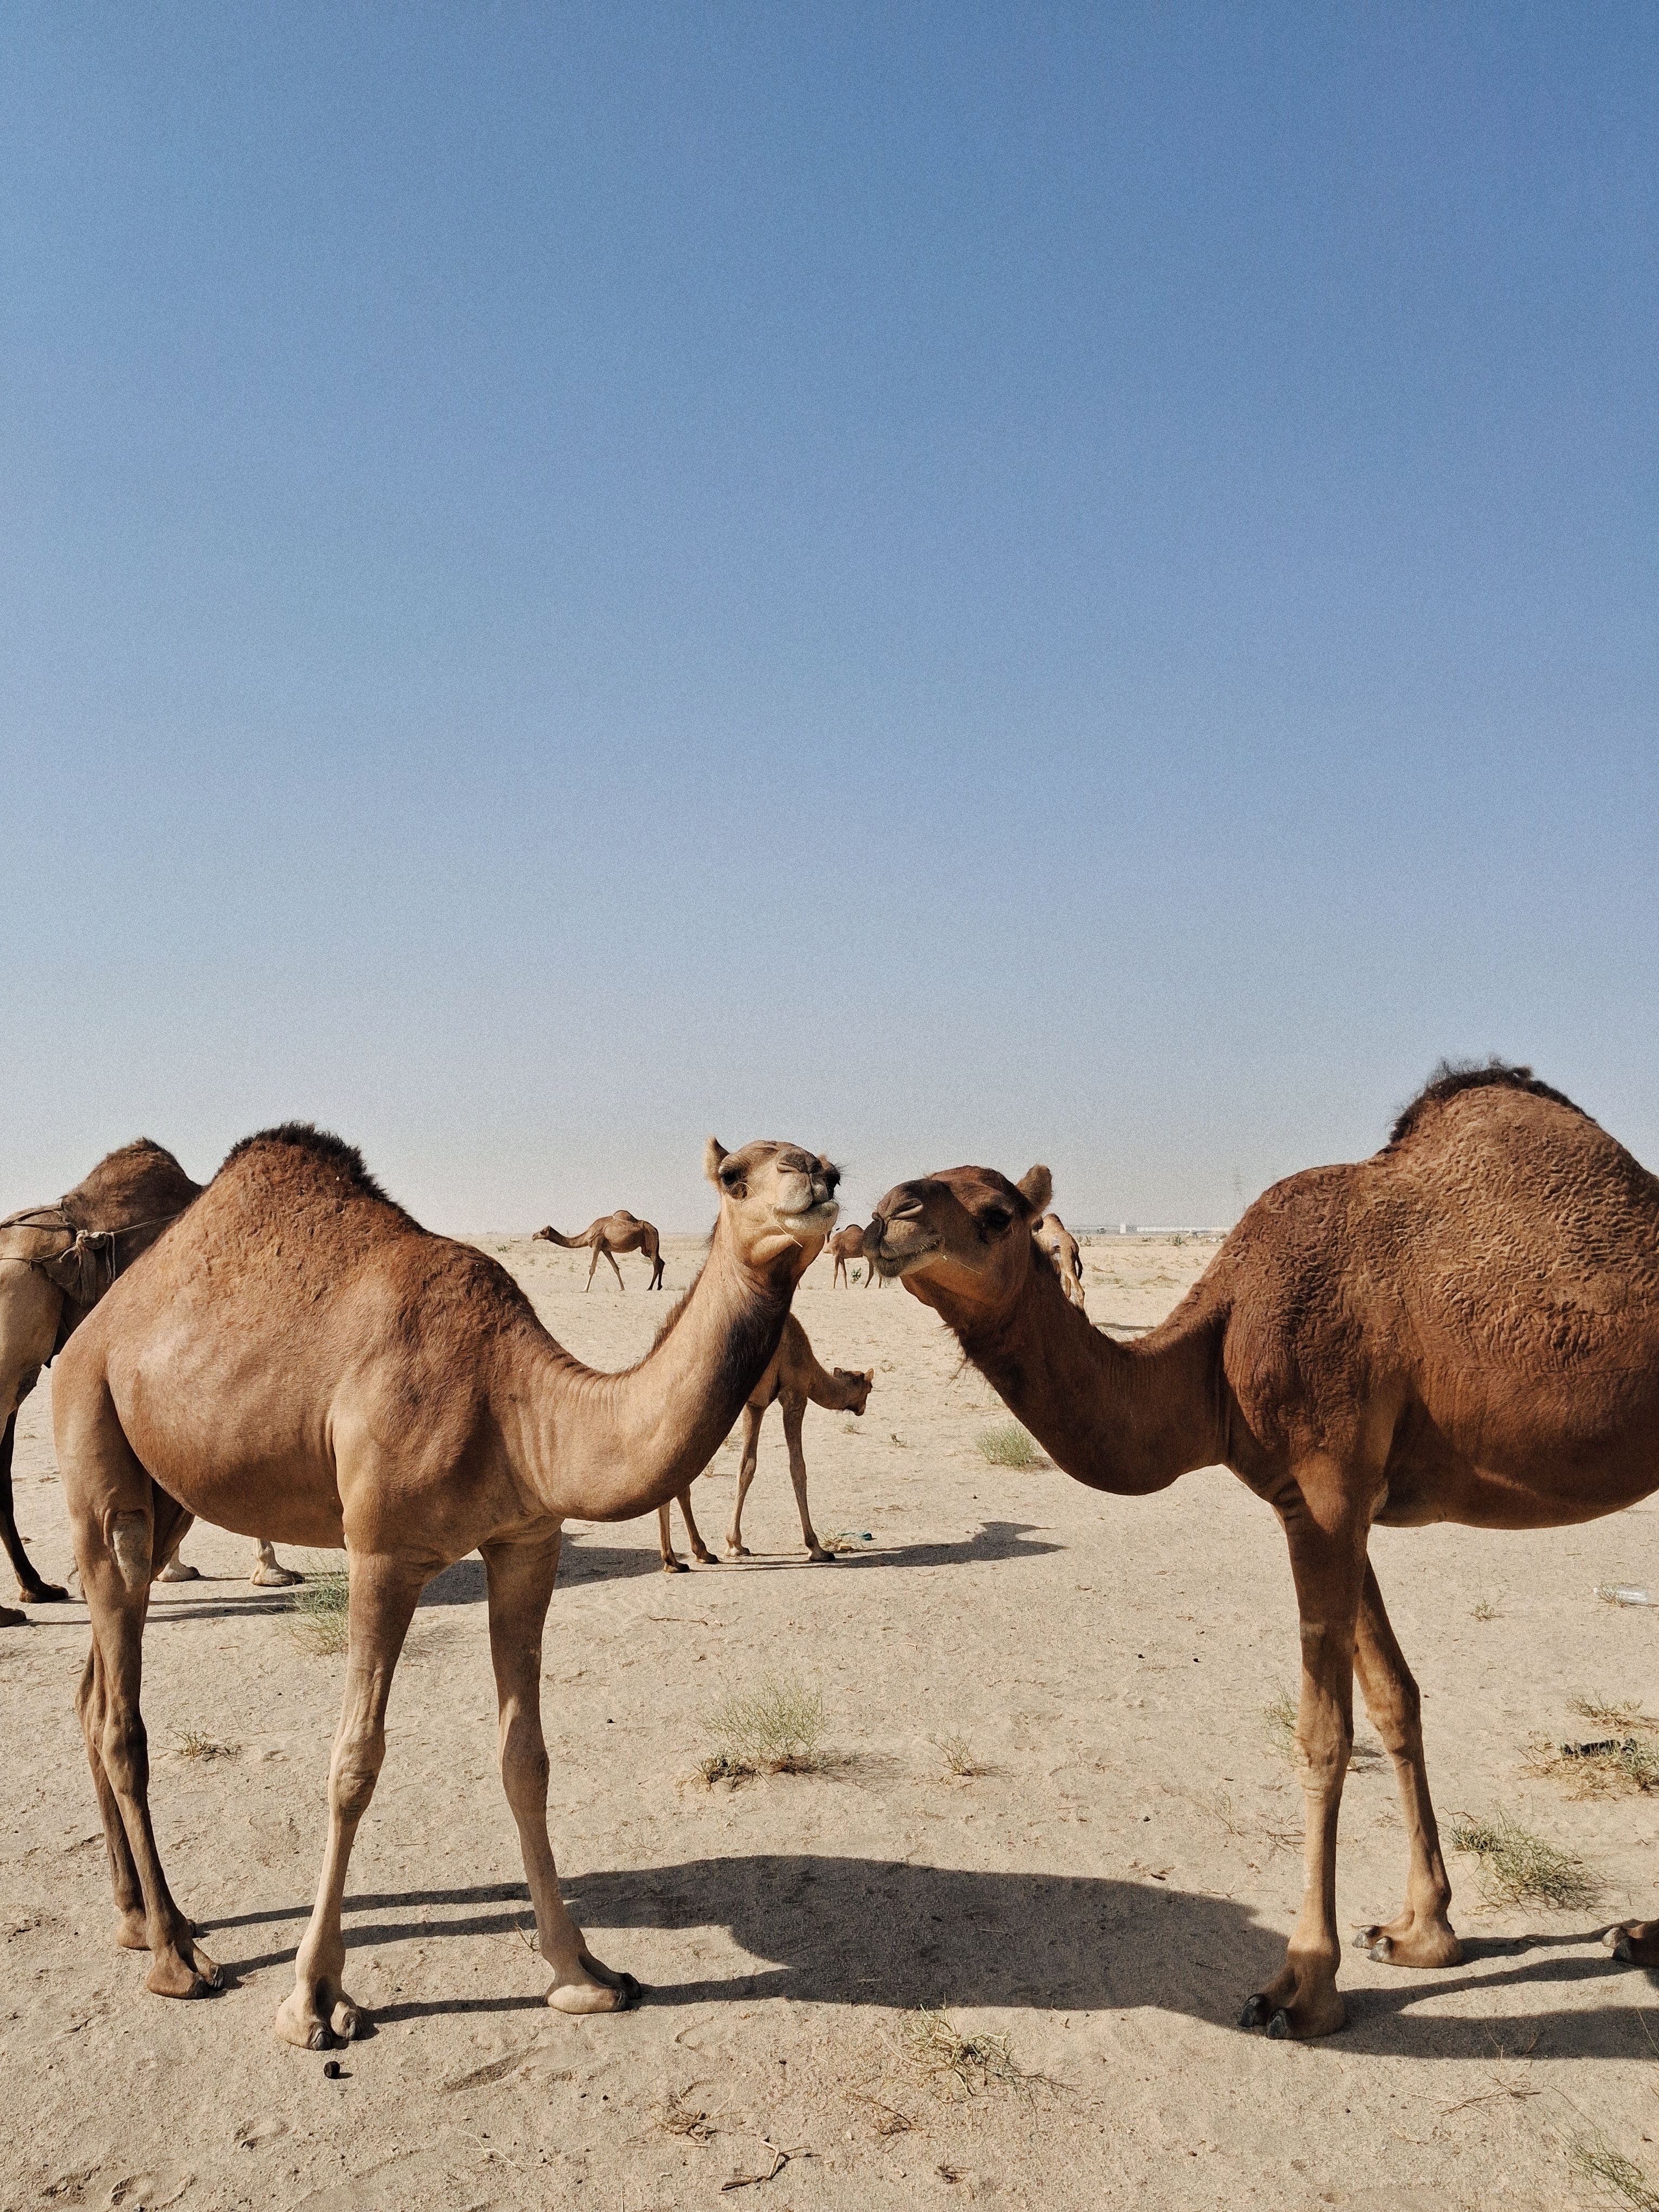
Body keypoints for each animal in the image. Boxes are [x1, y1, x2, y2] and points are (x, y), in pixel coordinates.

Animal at [533, 1210, 665, 1290]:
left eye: (542, 1231)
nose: (533, 1236)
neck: (587, 1234)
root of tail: (655, 1229)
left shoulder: (596, 1245)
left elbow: (592, 1269)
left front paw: (585, 1289)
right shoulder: (605, 1249)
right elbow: (616, 1268)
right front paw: (622, 1288)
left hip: (650, 1243)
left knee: (656, 1264)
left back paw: (650, 1287)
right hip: (646, 1248)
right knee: (661, 1262)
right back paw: (659, 1287)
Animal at [657, 1314, 874, 1568]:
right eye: (870, 1388)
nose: (862, 1409)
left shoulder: (755, 1405)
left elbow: (746, 1467)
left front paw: (735, 1545)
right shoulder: (795, 1395)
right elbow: (797, 1468)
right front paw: (816, 1548)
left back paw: (682, 1558)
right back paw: (687, 1556)